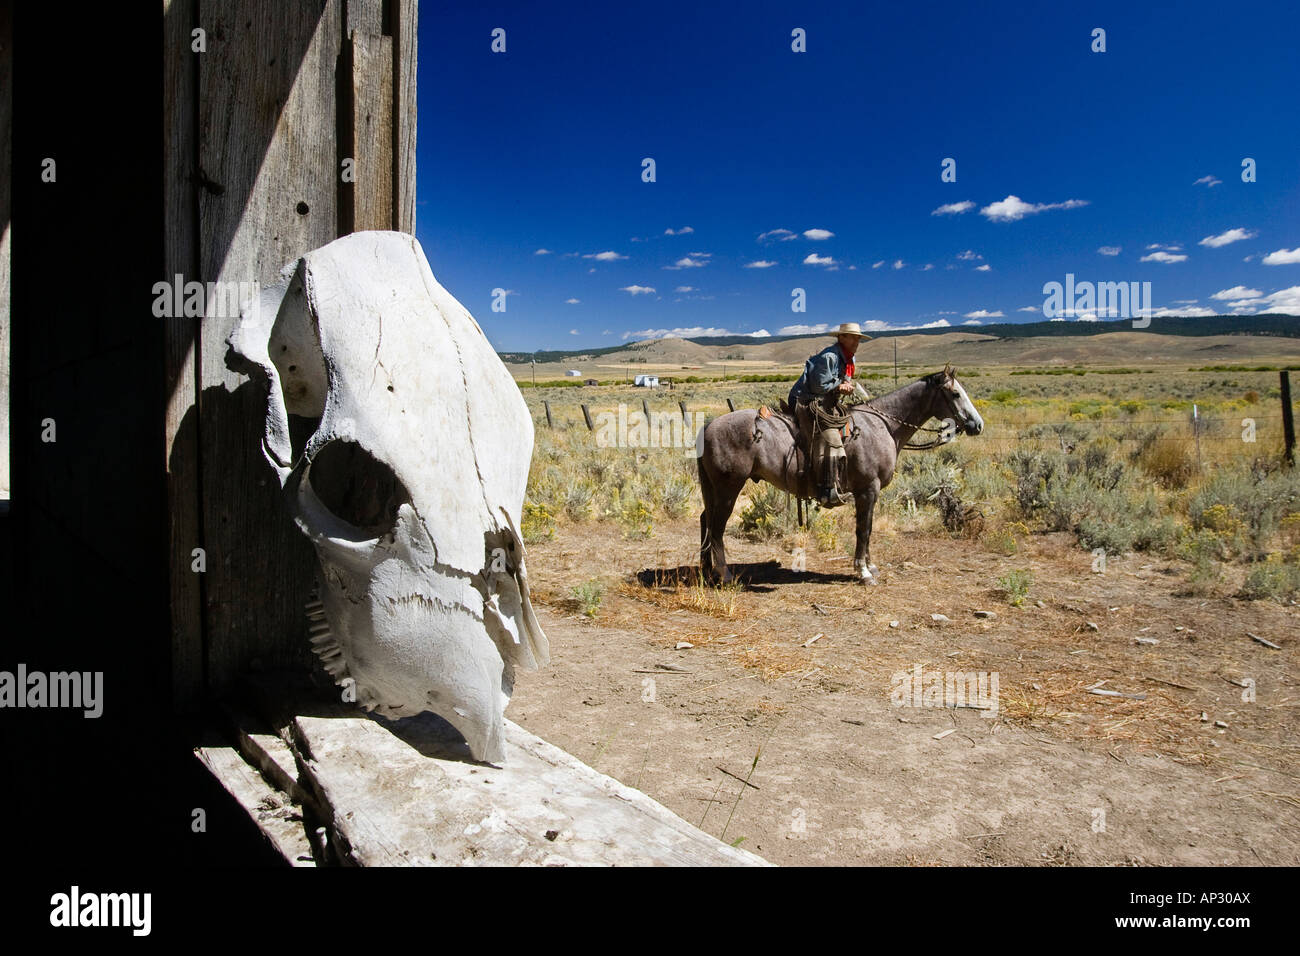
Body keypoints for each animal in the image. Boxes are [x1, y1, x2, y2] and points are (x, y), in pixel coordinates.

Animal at [697, 365, 984, 585]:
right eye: (955, 393)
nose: (977, 424)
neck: (883, 426)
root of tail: (709, 426)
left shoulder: (869, 493)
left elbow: (868, 528)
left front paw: (870, 566)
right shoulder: (868, 489)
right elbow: (863, 529)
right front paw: (864, 572)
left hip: (714, 489)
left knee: (705, 520)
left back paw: (706, 571)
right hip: (729, 488)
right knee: (717, 527)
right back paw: (724, 575)